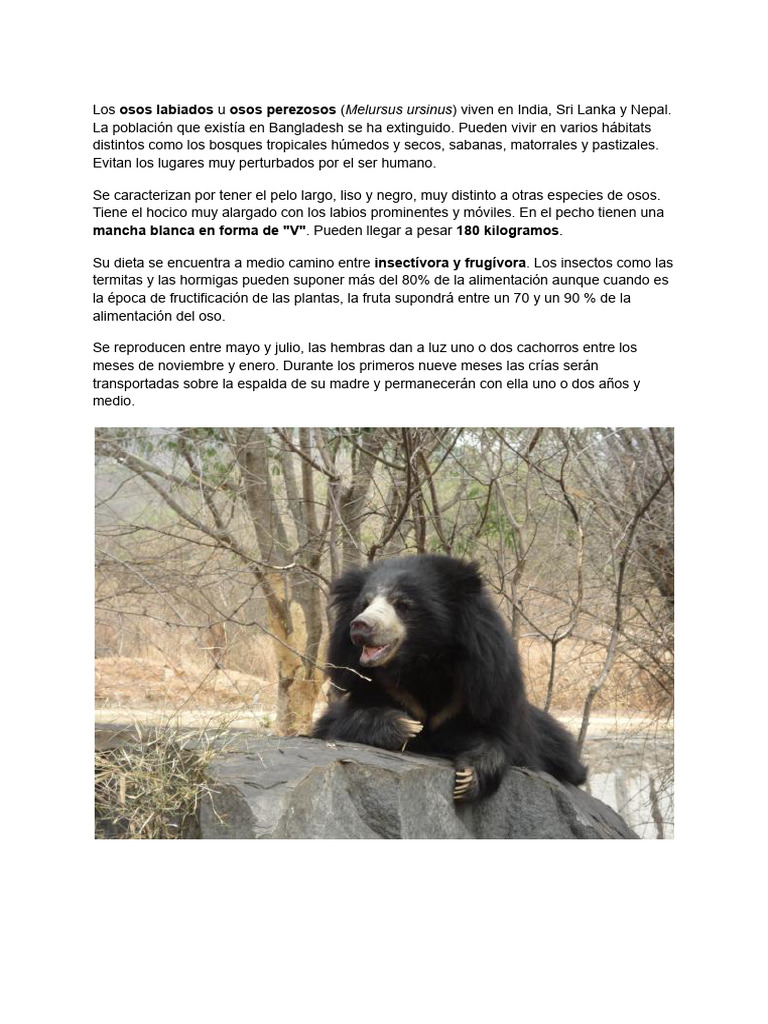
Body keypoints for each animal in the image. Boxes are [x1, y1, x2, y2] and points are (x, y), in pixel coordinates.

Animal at [312, 554, 587, 802]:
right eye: (364, 604)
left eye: (402, 605)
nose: (361, 625)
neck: (422, 663)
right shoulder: (381, 686)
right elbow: (339, 722)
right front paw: (405, 725)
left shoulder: (485, 679)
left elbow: (498, 739)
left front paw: (469, 778)